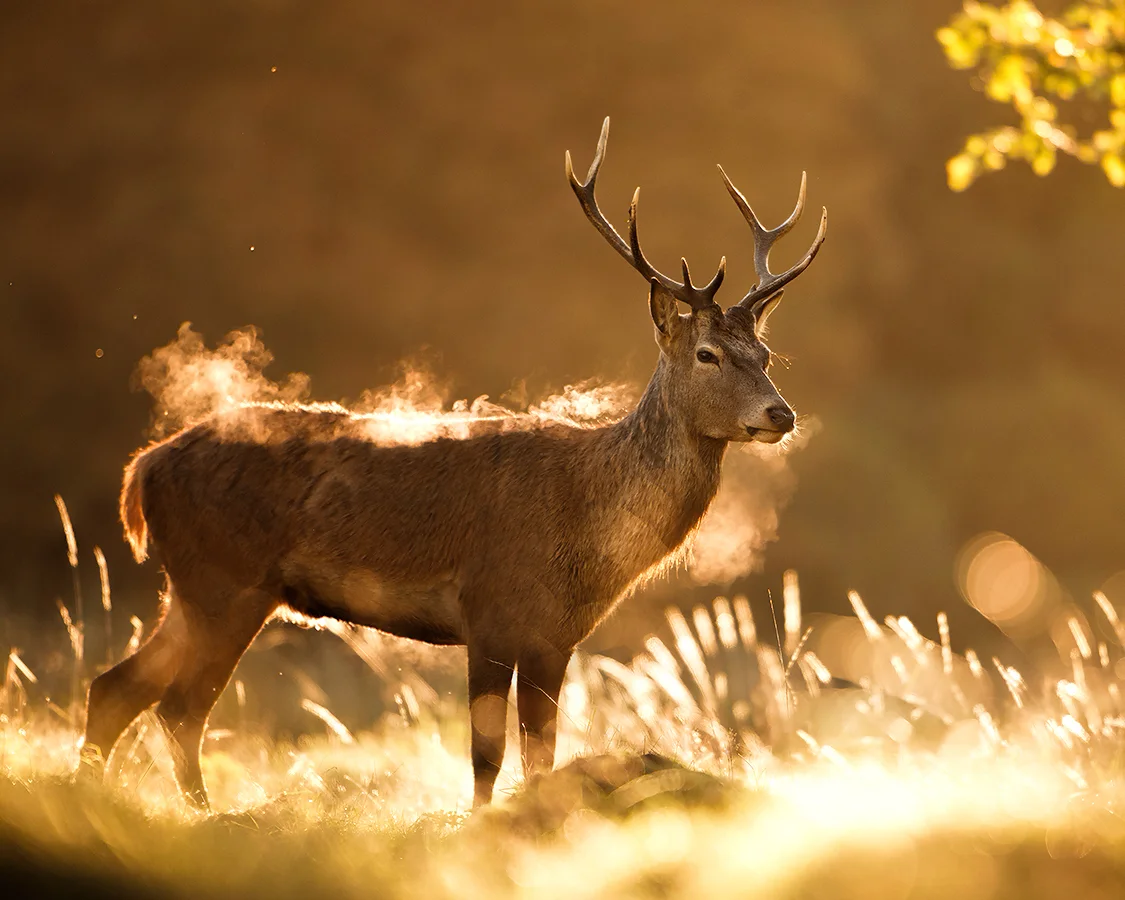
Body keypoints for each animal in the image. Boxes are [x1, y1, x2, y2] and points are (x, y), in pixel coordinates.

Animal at [78, 118, 826, 809]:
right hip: (225, 580)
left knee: (114, 687)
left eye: (764, 355)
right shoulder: (488, 609)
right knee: (178, 708)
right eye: (707, 354)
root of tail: (144, 468)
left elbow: (540, 754)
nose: (780, 415)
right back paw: (205, 816)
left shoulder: (557, 637)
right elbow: (485, 755)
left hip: (191, 587)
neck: (588, 534)